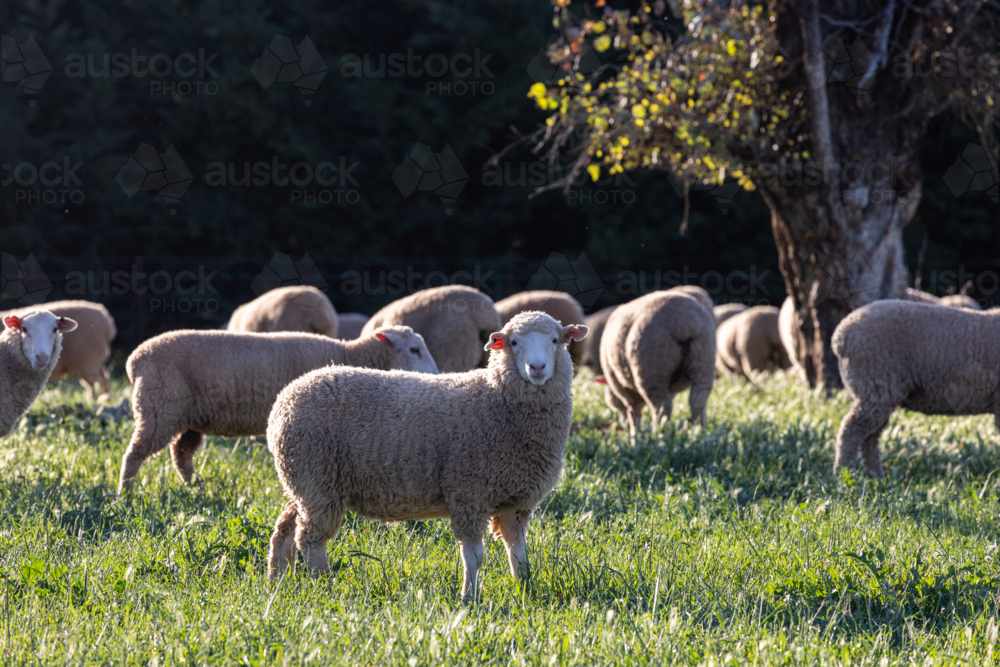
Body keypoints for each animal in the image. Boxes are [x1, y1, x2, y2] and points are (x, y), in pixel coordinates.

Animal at [119, 326, 437, 492]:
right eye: (414, 350)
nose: (437, 374)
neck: (351, 354)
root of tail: (135, 360)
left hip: (190, 417)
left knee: (181, 454)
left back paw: (196, 487)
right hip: (159, 410)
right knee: (135, 453)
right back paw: (127, 492)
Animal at [266, 311, 588, 601]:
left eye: (556, 340)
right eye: (514, 342)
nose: (537, 367)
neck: (497, 401)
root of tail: (283, 400)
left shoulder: (515, 502)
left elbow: (518, 553)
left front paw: (526, 592)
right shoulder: (469, 495)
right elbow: (474, 556)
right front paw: (469, 599)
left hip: (305, 485)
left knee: (285, 527)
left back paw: (278, 580)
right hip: (318, 482)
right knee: (310, 541)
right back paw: (325, 586)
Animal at [599, 291, 716, 439]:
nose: (622, 424)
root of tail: (683, 323)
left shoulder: (620, 385)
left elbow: (634, 412)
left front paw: (635, 436)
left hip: (652, 368)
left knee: (661, 407)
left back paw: (659, 434)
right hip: (704, 361)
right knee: (698, 401)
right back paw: (699, 431)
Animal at [832, 300, 1000, 478]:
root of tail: (841, 336)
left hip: (879, 393)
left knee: (870, 438)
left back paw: (876, 478)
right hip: (875, 383)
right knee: (851, 430)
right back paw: (844, 474)